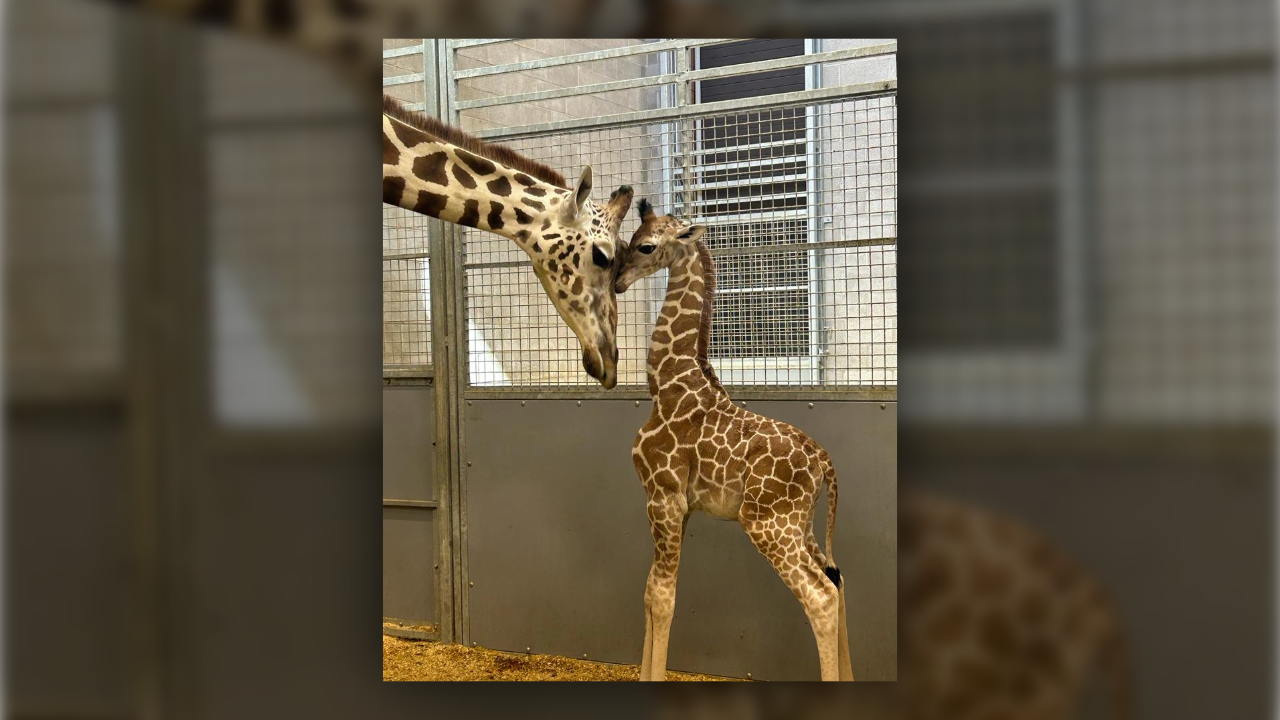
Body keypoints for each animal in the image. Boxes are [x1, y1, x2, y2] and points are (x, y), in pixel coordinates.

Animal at [613, 200, 854, 682]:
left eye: (645, 246)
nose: (617, 281)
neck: (667, 386)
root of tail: (822, 460)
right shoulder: (677, 505)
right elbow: (649, 591)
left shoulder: (664, 497)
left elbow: (663, 598)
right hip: (801, 525)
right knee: (837, 582)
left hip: (767, 524)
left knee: (820, 596)